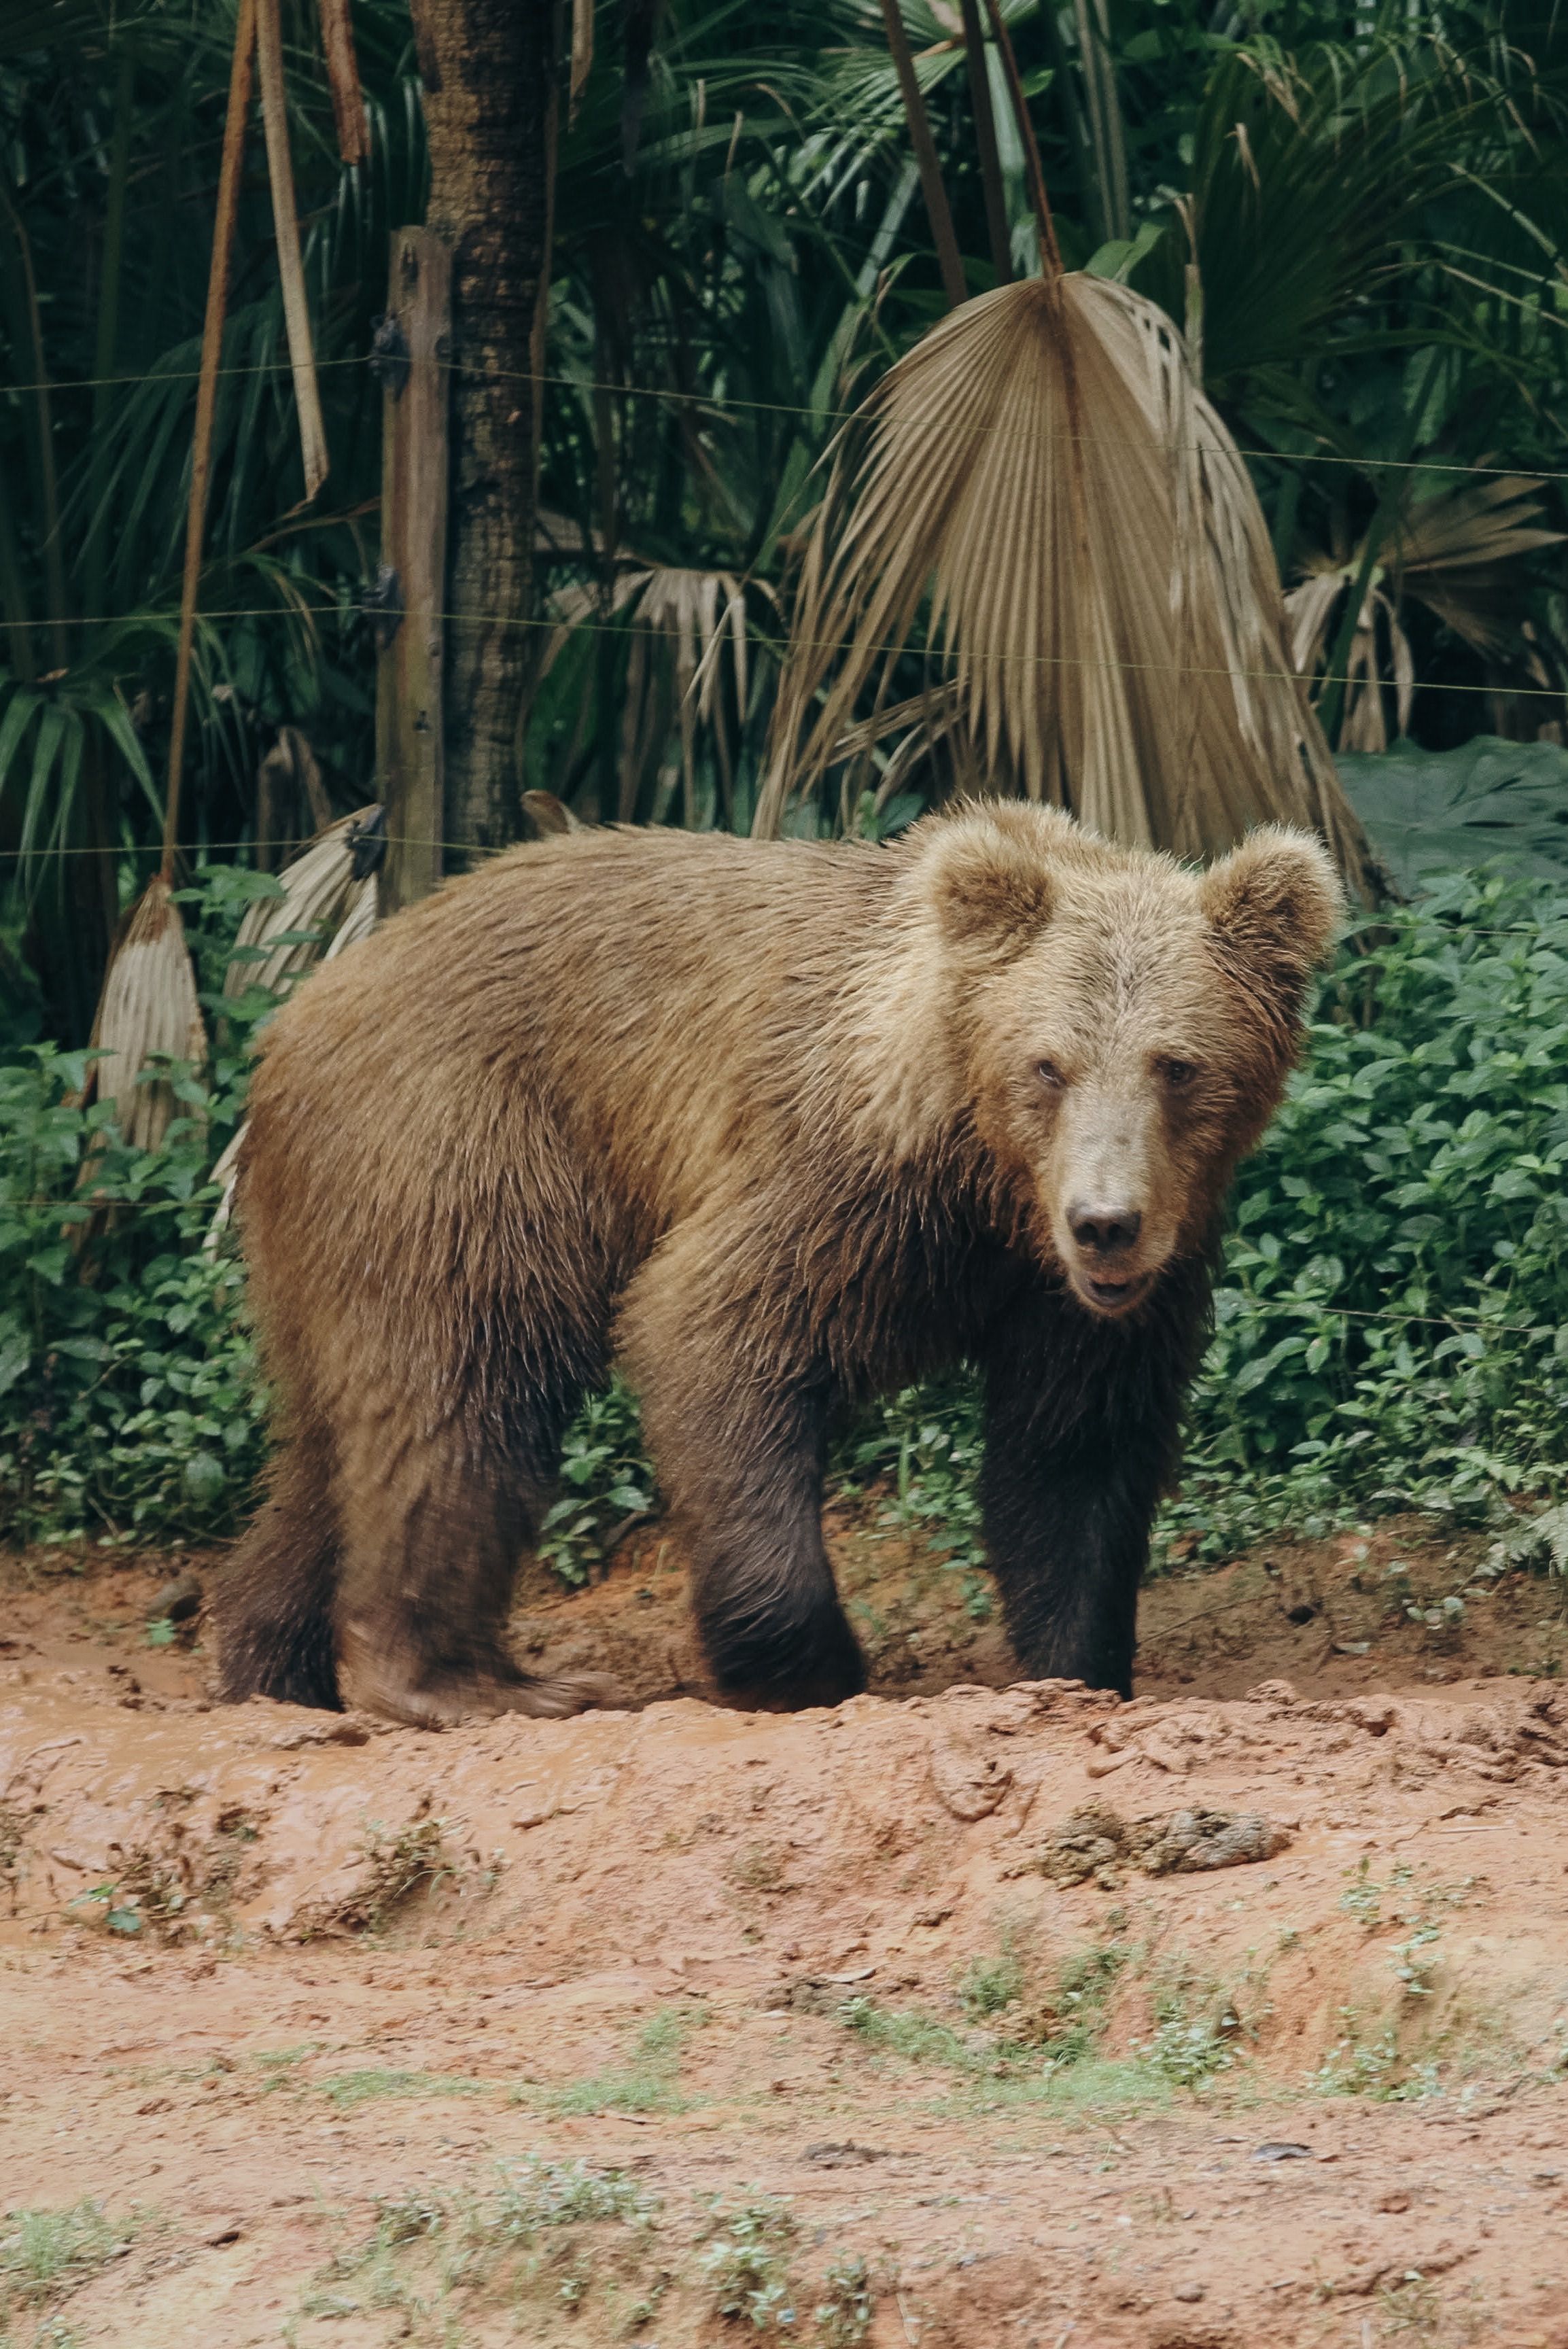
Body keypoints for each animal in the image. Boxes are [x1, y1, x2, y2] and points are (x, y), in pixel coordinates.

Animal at [211, 800, 1341, 1727]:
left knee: (330, 1438)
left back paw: (273, 1664)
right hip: (465, 1139)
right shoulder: (832, 1183)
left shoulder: (1084, 1293)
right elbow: (710, 1333)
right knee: (465, 1385)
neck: (983, 1183)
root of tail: (291, 1020)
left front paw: (1077, 1666)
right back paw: (458, 1680)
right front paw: (802, 1665)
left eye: (1177, 1065)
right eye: (1046, 1065)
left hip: (331, 1219)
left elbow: (1072, 1451)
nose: (1103, 1222)